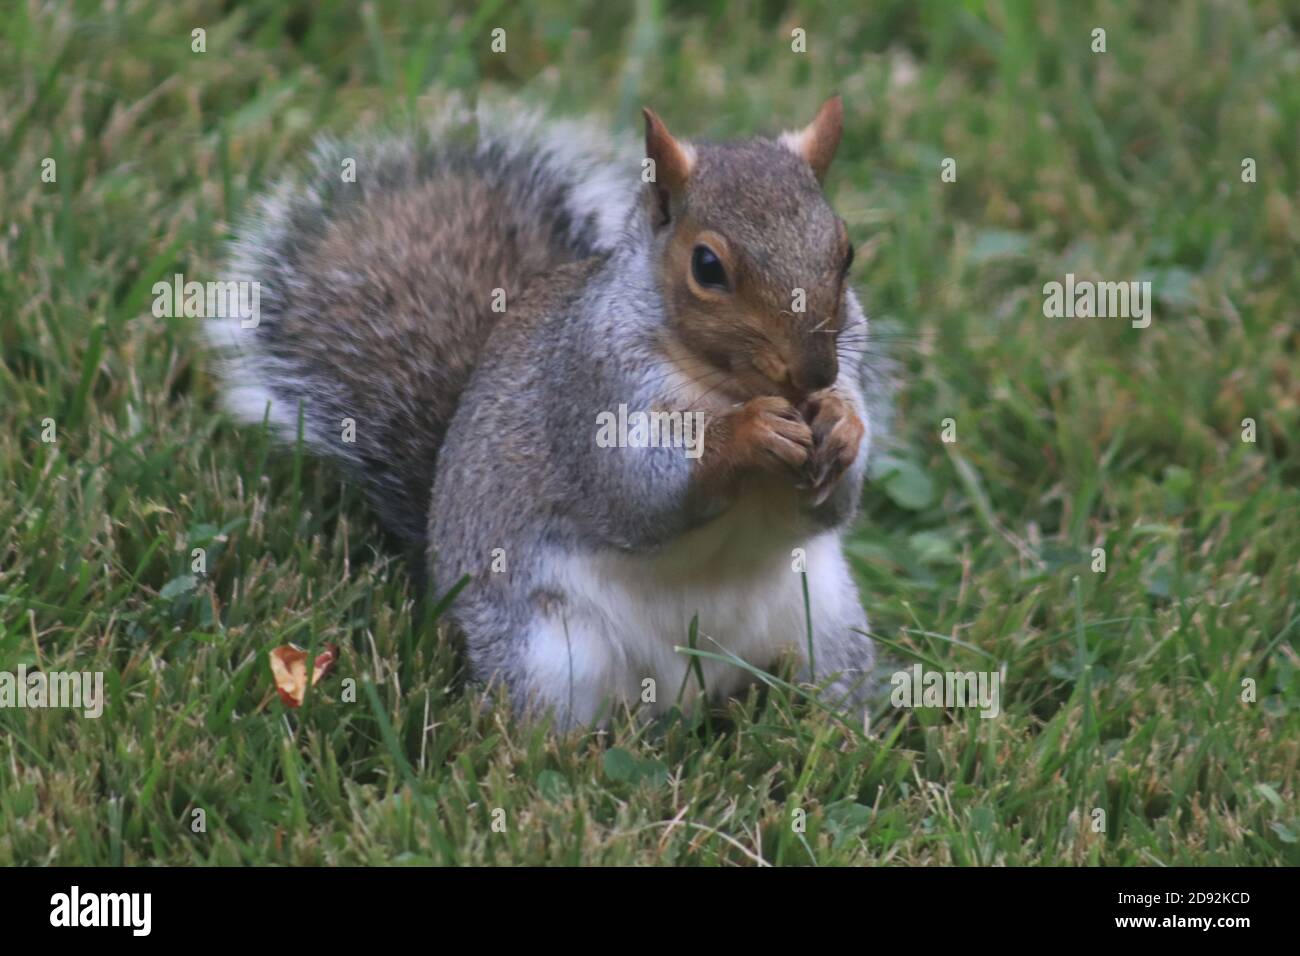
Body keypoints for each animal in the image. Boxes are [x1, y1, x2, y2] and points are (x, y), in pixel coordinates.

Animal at [207, 95, 890, 727]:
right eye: (707, 266)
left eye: (847, 252)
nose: (815, 374)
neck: (725, 384)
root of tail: (686, 695)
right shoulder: (587, 389)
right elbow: (638, 492)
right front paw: (749, 433)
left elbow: (832, 506)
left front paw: (843, 426)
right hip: (550, 653)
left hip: (826, 624)